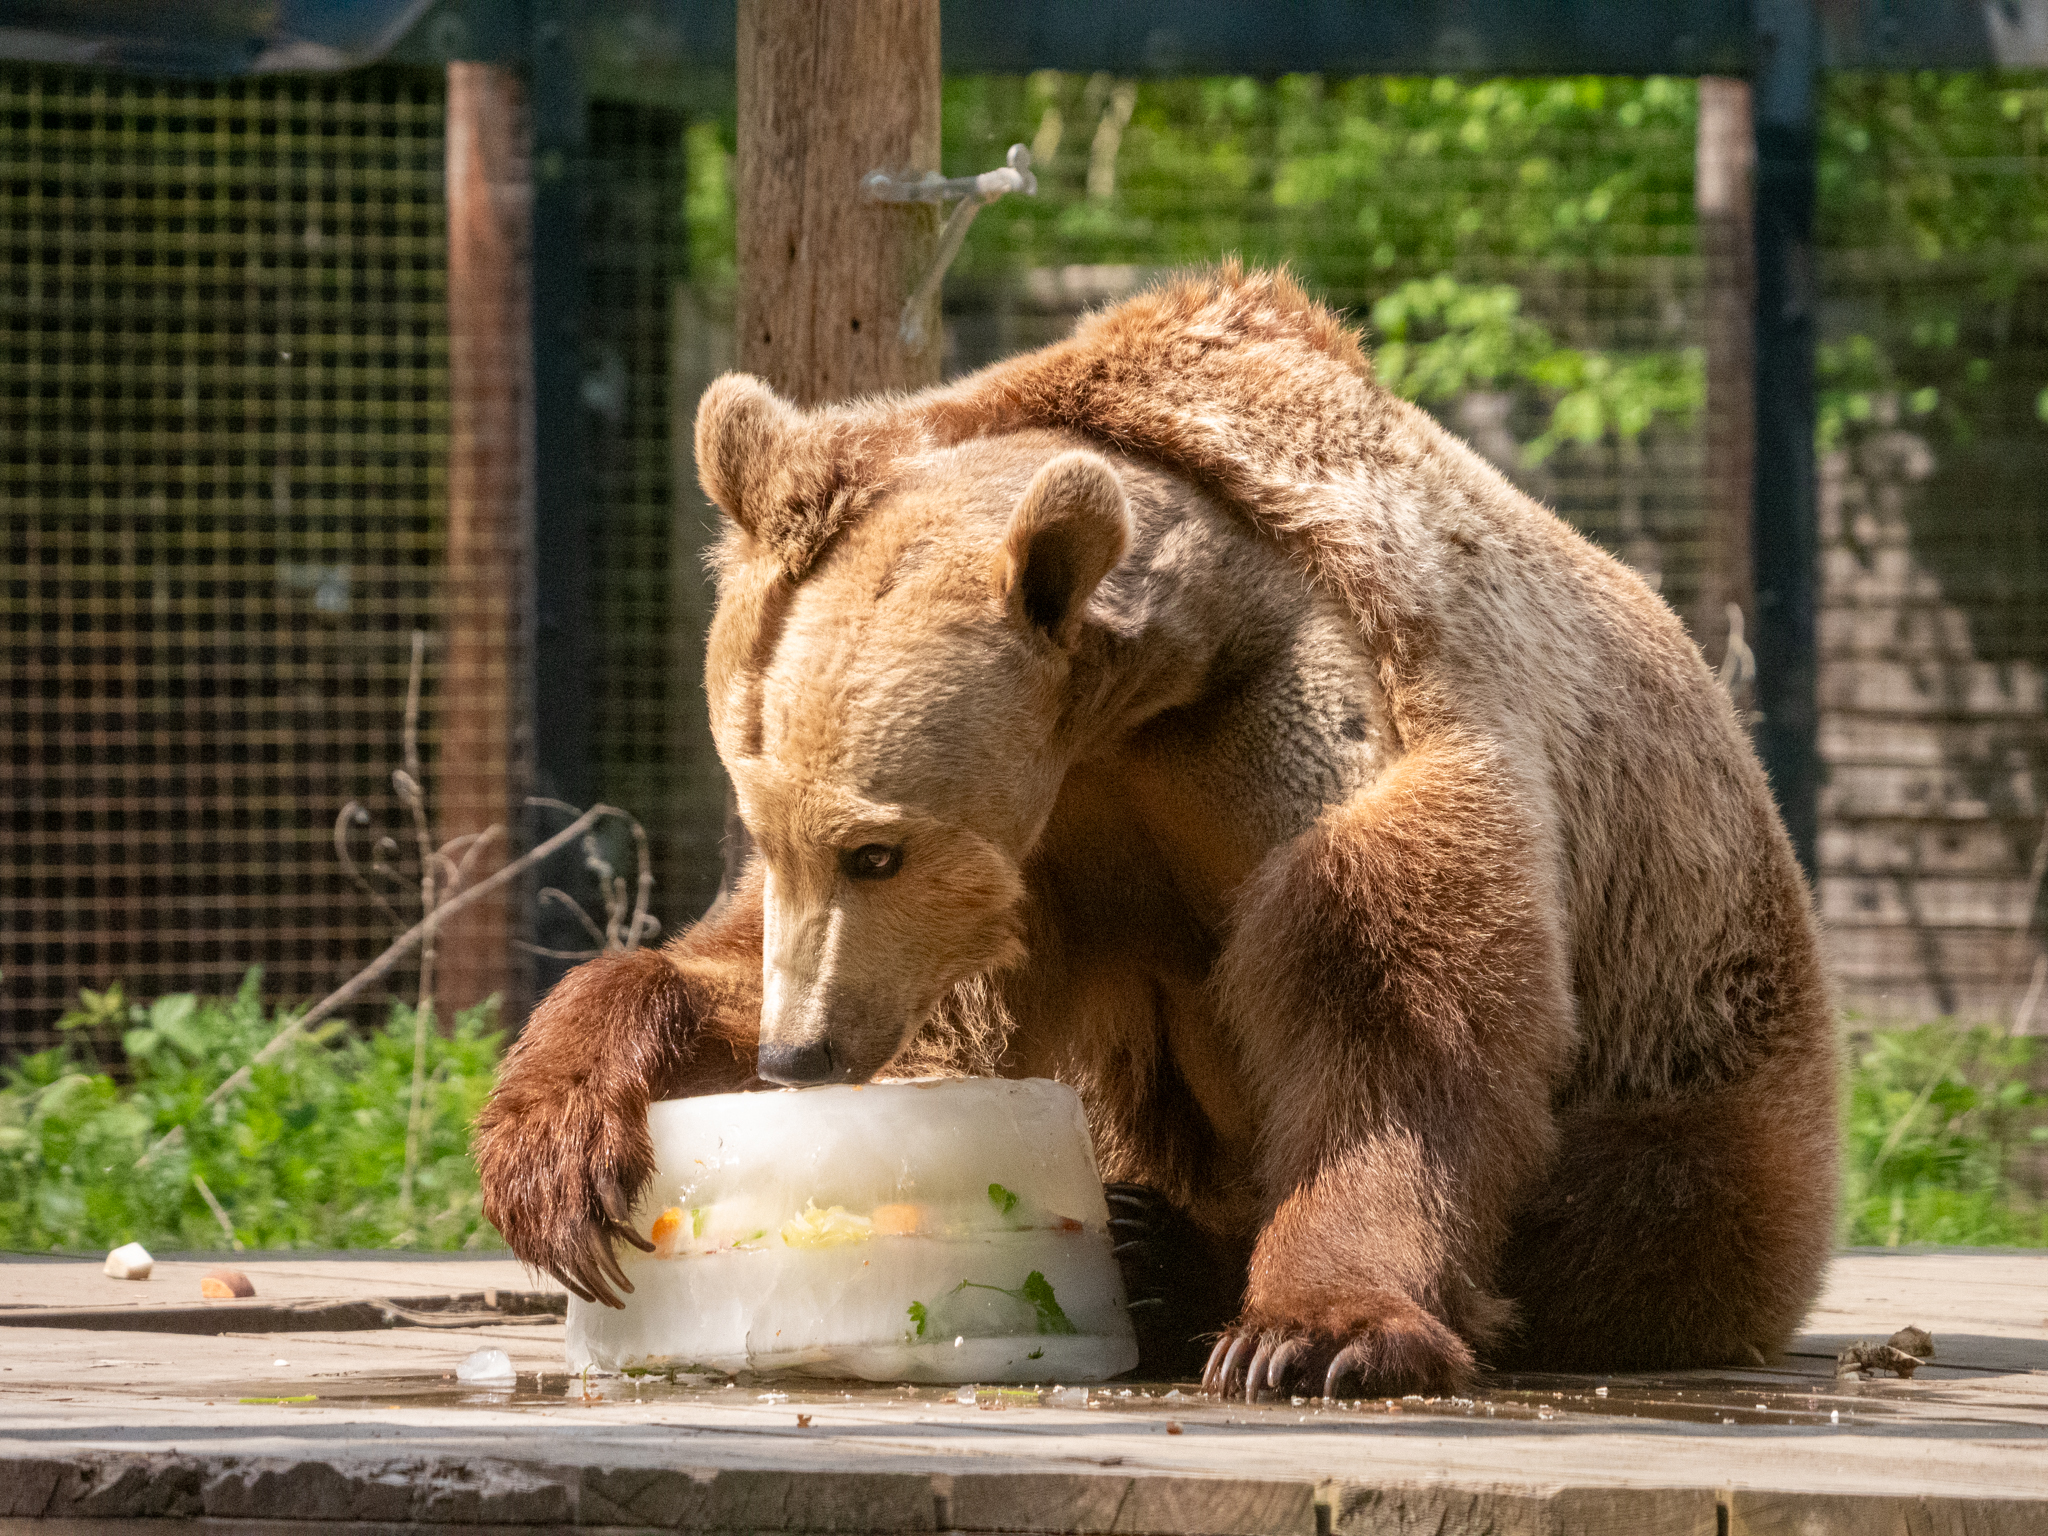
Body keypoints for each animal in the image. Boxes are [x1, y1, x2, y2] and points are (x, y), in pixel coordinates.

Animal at [474, 265, 1838, 1400]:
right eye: (769, 833)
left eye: (878, 848)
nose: (798, 1055)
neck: (1126, 716)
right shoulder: (1030, 873)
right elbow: (813, 983)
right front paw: (558, 1154)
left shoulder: (1337, 751)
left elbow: (1395, 1026)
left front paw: (1313, 1333)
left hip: (1713, 1055)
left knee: (1649, 1205)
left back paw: (1174, 1254)